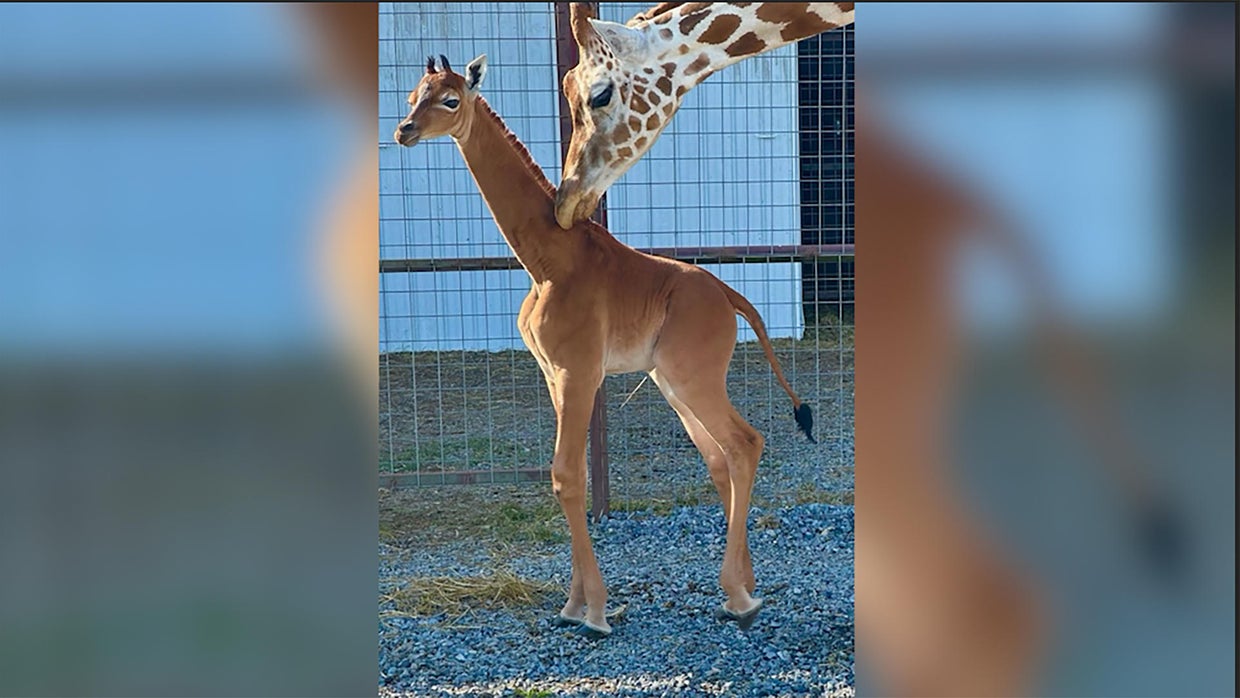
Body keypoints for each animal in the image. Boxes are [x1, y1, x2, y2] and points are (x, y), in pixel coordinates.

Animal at [394, 54, 816, 637]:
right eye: (413, 94)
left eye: (451, 99)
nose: (404, 130)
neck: (546, 261)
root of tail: (731, 296)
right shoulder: (554, 375)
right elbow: (569, 477)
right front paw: (573, 604)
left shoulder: (579, 372)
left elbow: (567, 475)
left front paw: (592, 610)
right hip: (671, 382)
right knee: (719, 456)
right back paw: (746, 586)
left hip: (693, 376)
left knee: (744, 443)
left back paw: (739, 597)